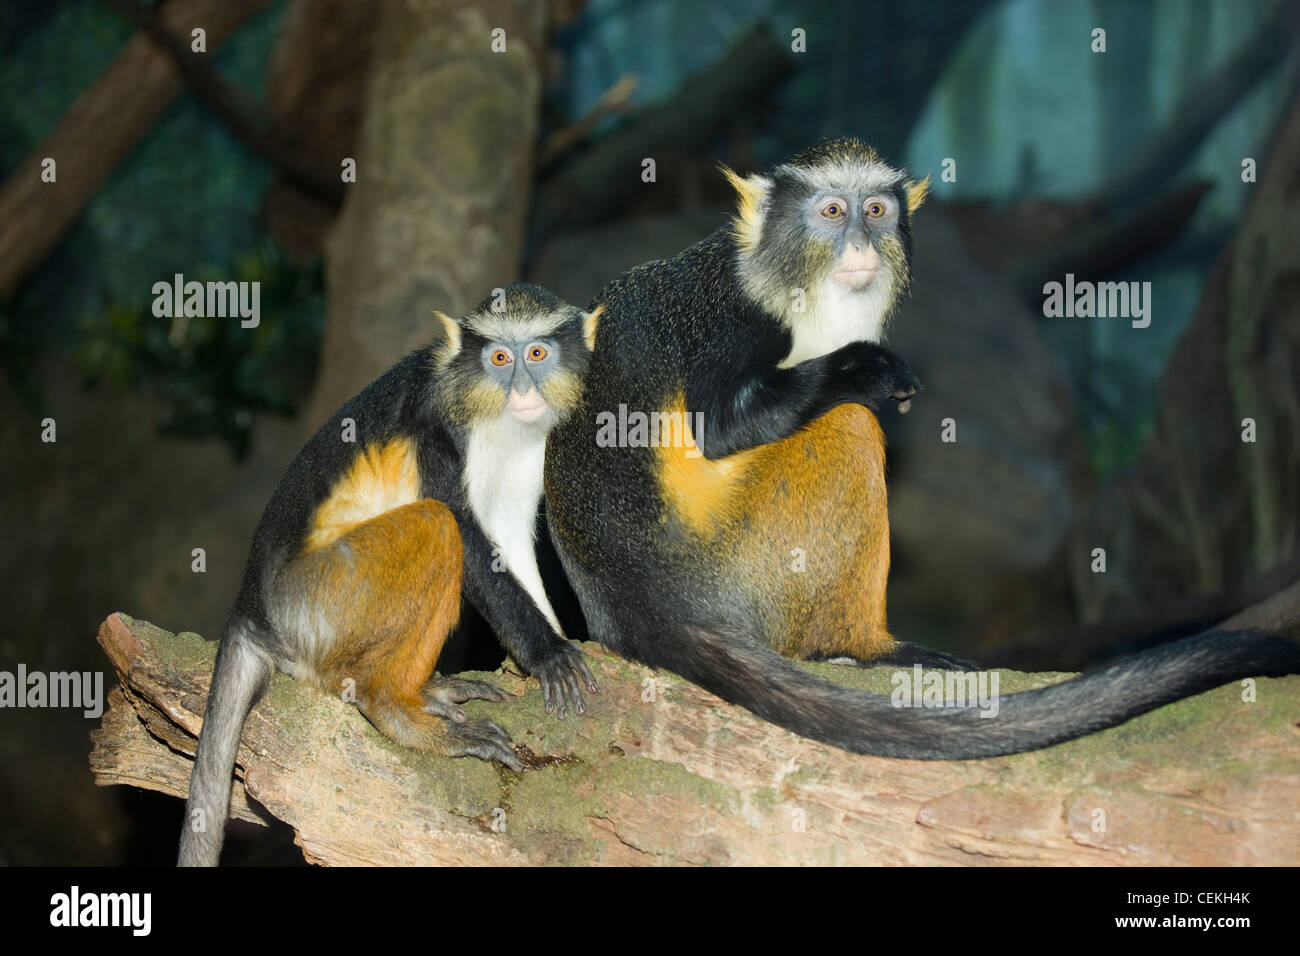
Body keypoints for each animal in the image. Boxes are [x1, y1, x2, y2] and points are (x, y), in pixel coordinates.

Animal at [178, 282, 598, 866]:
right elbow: (468, 536)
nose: (520, 388)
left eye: (536, 353)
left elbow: (508, 538)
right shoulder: (436, 435)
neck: (489, 414)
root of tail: (251, 609)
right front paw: (549, 655)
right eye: (499, 358)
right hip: (323, 596)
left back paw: (427, 694)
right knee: (435, 524)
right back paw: (394, 709)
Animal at [543, 137, 1300, 760]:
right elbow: (720, 427)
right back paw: (865, 647)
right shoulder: (737, 319)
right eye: (831, 212)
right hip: (739, 572)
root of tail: (645, 611)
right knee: (848, 425)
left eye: (876, 210)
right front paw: (863, 370)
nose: (859, 245)